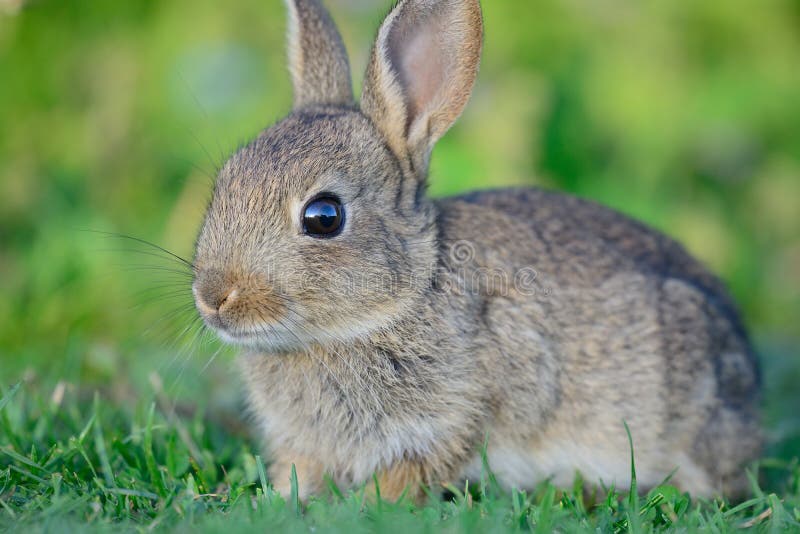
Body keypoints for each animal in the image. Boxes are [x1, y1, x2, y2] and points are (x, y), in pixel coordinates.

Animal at [191, 0, 761, 503]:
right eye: (224, 185)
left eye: (324, 217)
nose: (214, 297)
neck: (392, 305)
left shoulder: (456, 417)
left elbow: (413, 473)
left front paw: (371, 506)